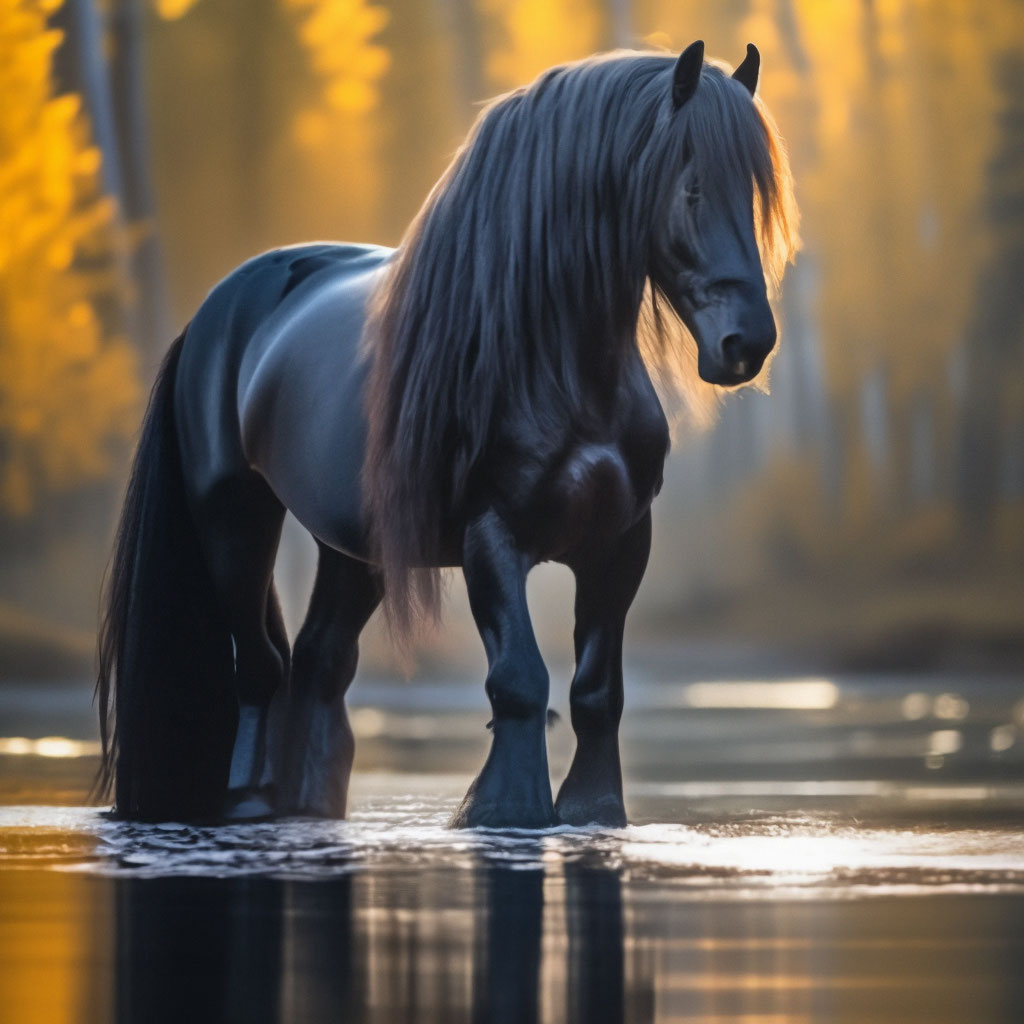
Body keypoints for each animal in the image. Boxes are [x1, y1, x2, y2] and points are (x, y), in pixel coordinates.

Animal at [95, 41, 799, 827]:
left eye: (753, 194)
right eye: (692, 188)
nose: (747, 344)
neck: (554, 362)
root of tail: (219, 309)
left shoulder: (620, 544)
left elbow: (595, 691)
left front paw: (592, 808)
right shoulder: (492, 538)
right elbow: (520, 679)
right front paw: (507, 805)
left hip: (353, 549)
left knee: (319, 664)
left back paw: (309, 804)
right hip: (234, 520)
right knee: (261, 667)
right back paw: (247, 800)